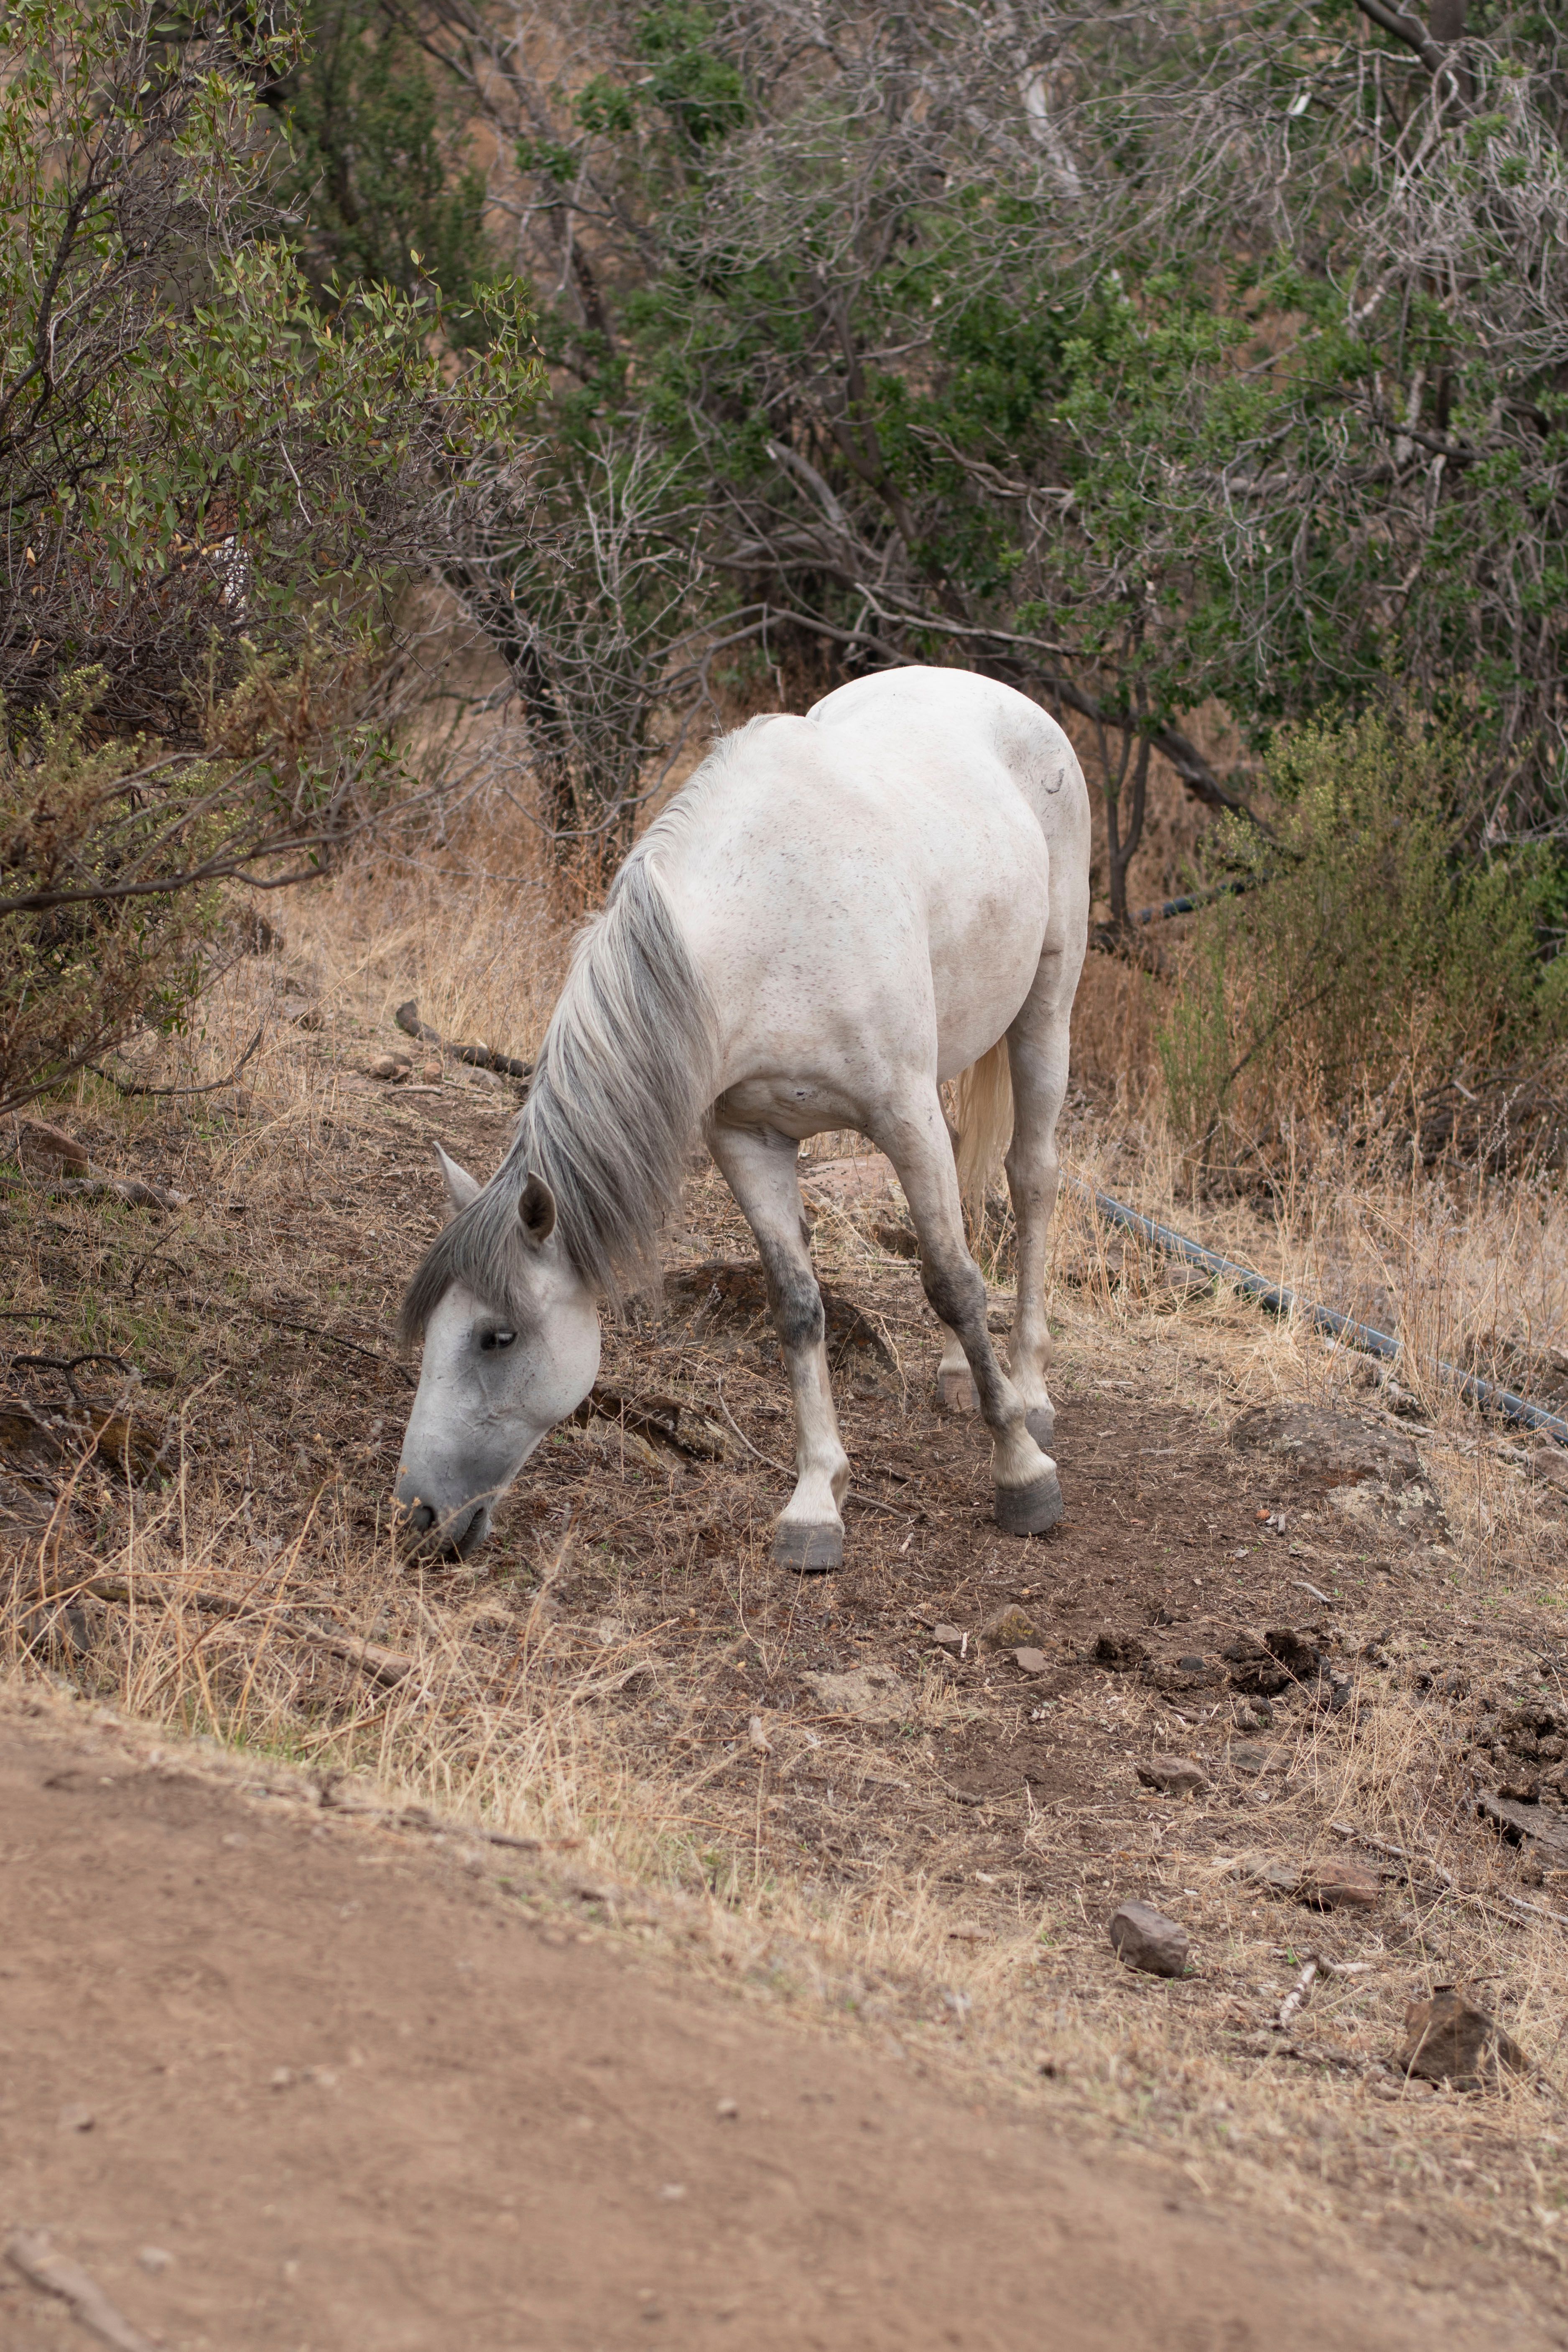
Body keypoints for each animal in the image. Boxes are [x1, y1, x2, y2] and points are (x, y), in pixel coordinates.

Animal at [395, 663, 1091, 1569]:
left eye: (496, 1337)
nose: (417, 1512)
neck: (767, 926)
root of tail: (998, 693)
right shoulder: (746, 1138)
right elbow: (797, 1306)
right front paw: (815, 1503)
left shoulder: (901, 1115)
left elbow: (954, 1284)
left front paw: (1019, 1469)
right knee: (972, 1193)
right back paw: (957, 1377)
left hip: (1048, 1004)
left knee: (1030, 1181)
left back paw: (1030, 1389)